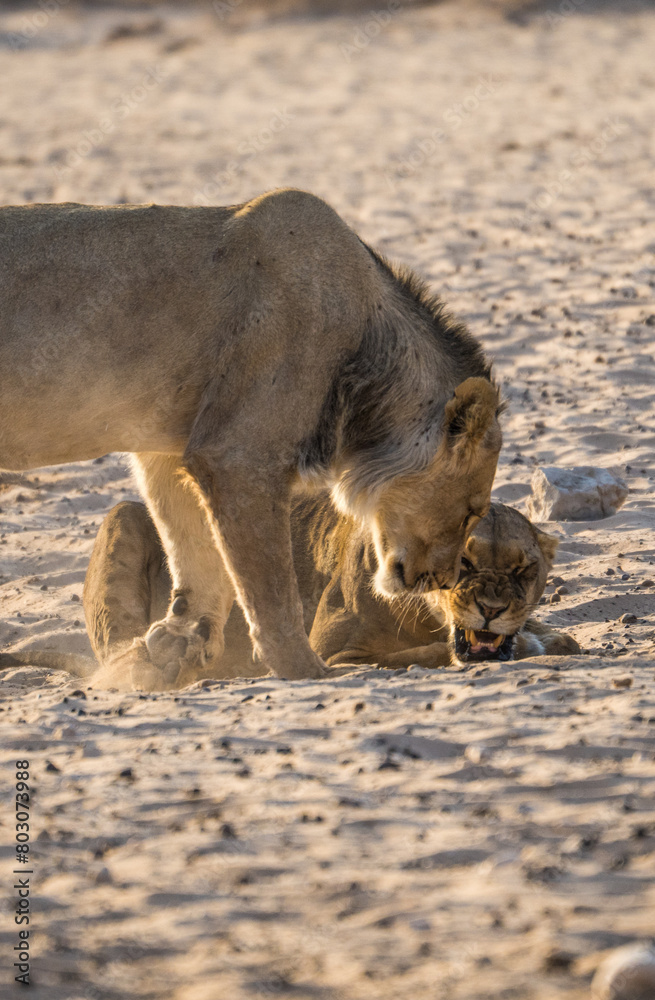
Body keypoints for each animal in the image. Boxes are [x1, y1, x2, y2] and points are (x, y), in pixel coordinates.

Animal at [0, 188, 502, 685]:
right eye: (469, 512)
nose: (442, 581)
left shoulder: (168, 447)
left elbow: (196, 552)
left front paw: (180, 641)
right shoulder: (239, 456)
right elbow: (271, 588)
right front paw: (305, 669)